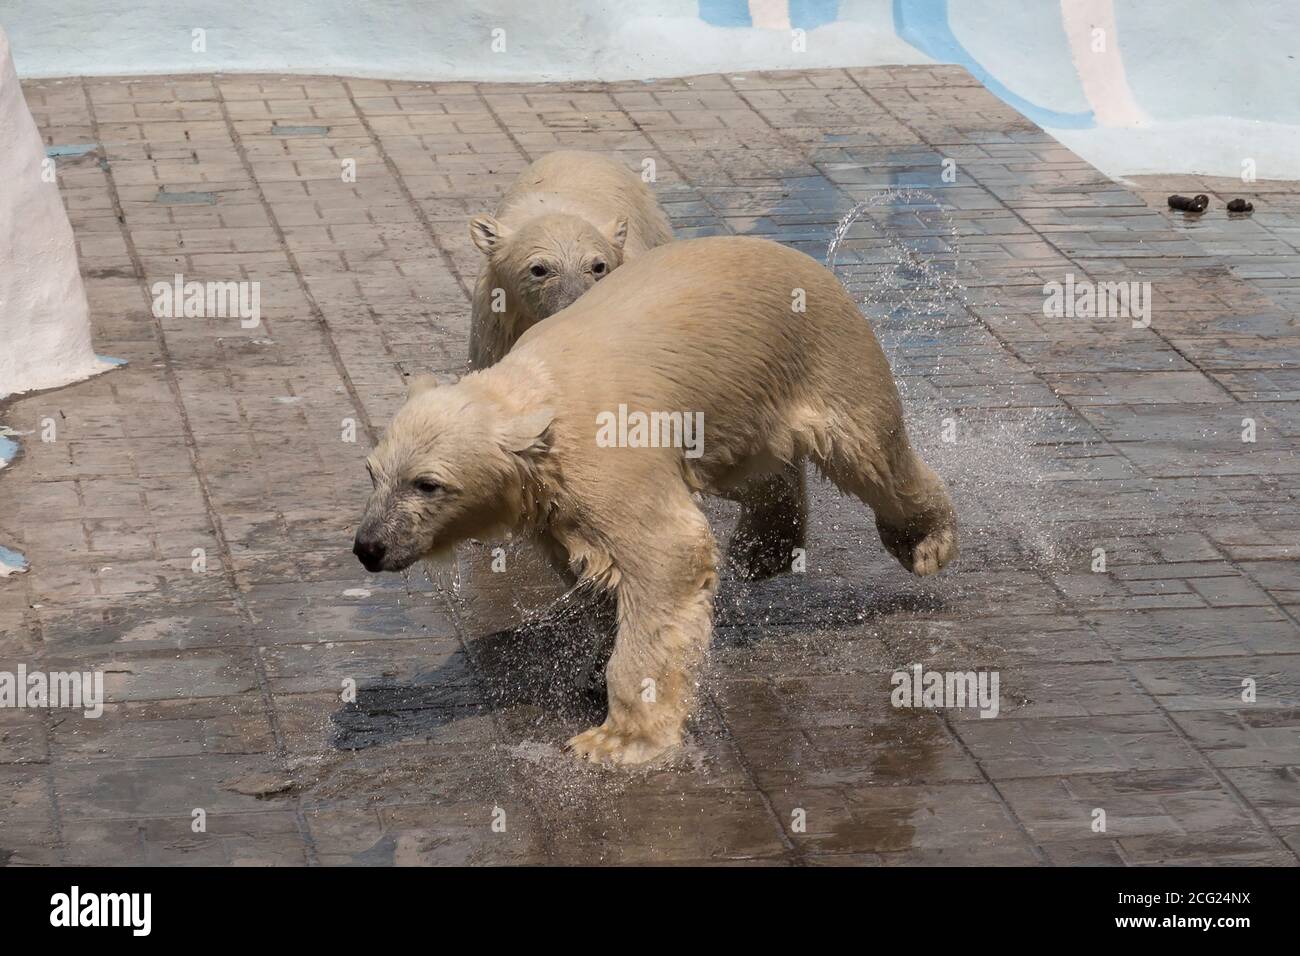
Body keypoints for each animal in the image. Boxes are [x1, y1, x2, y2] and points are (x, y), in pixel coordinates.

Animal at [354, 235, 958, 766]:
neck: (539, 399)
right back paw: (764, 548)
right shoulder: (555, 500)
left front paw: (615, 741)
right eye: (372, 471)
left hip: (823, 350)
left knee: (871, 453)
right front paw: (592, 659)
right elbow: (590, 567)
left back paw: (926, 541)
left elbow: (668, 551)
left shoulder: (608, 454)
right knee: (751, 468)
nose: (368, 547)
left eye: (428, 483)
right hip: (737, 395)